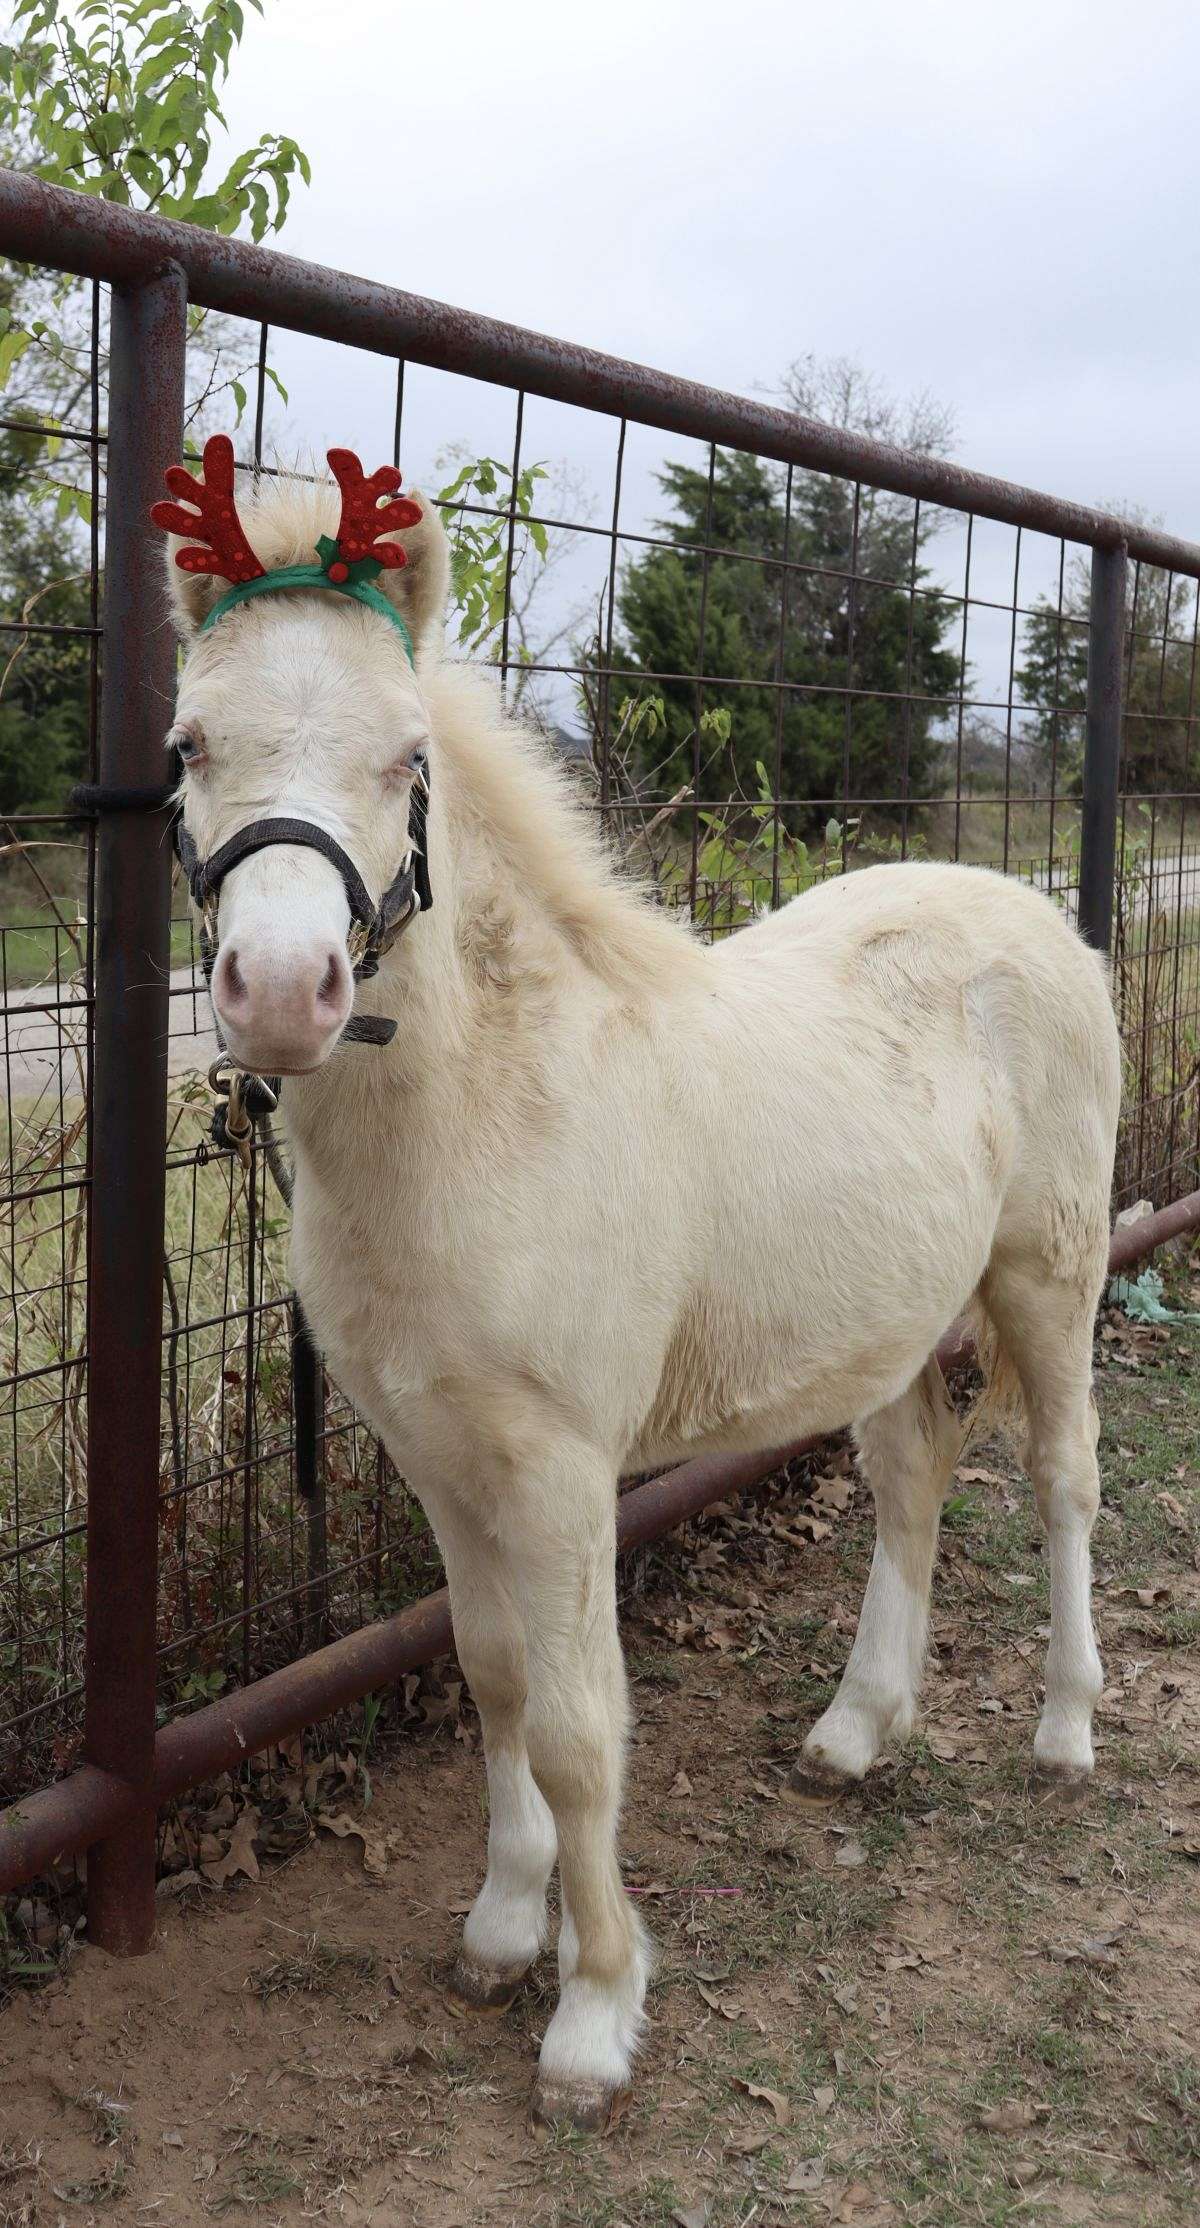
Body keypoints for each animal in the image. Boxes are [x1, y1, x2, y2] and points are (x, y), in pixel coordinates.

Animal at [155, 439, 1121, 2131]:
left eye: (407, 757)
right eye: (191, 745)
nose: (281, 995)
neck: (488, 1112)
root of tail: (1043, 925)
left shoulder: (558, 1471)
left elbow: (581, 1731)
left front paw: (594, 2017)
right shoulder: (440, 1461)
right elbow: (495, 1685)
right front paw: (499, 1931)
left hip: (1046, 1275)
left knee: (1063, 1473)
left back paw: (1064, 1730)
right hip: (885, 1320)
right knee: (914, 1473)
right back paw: (855, 1731)